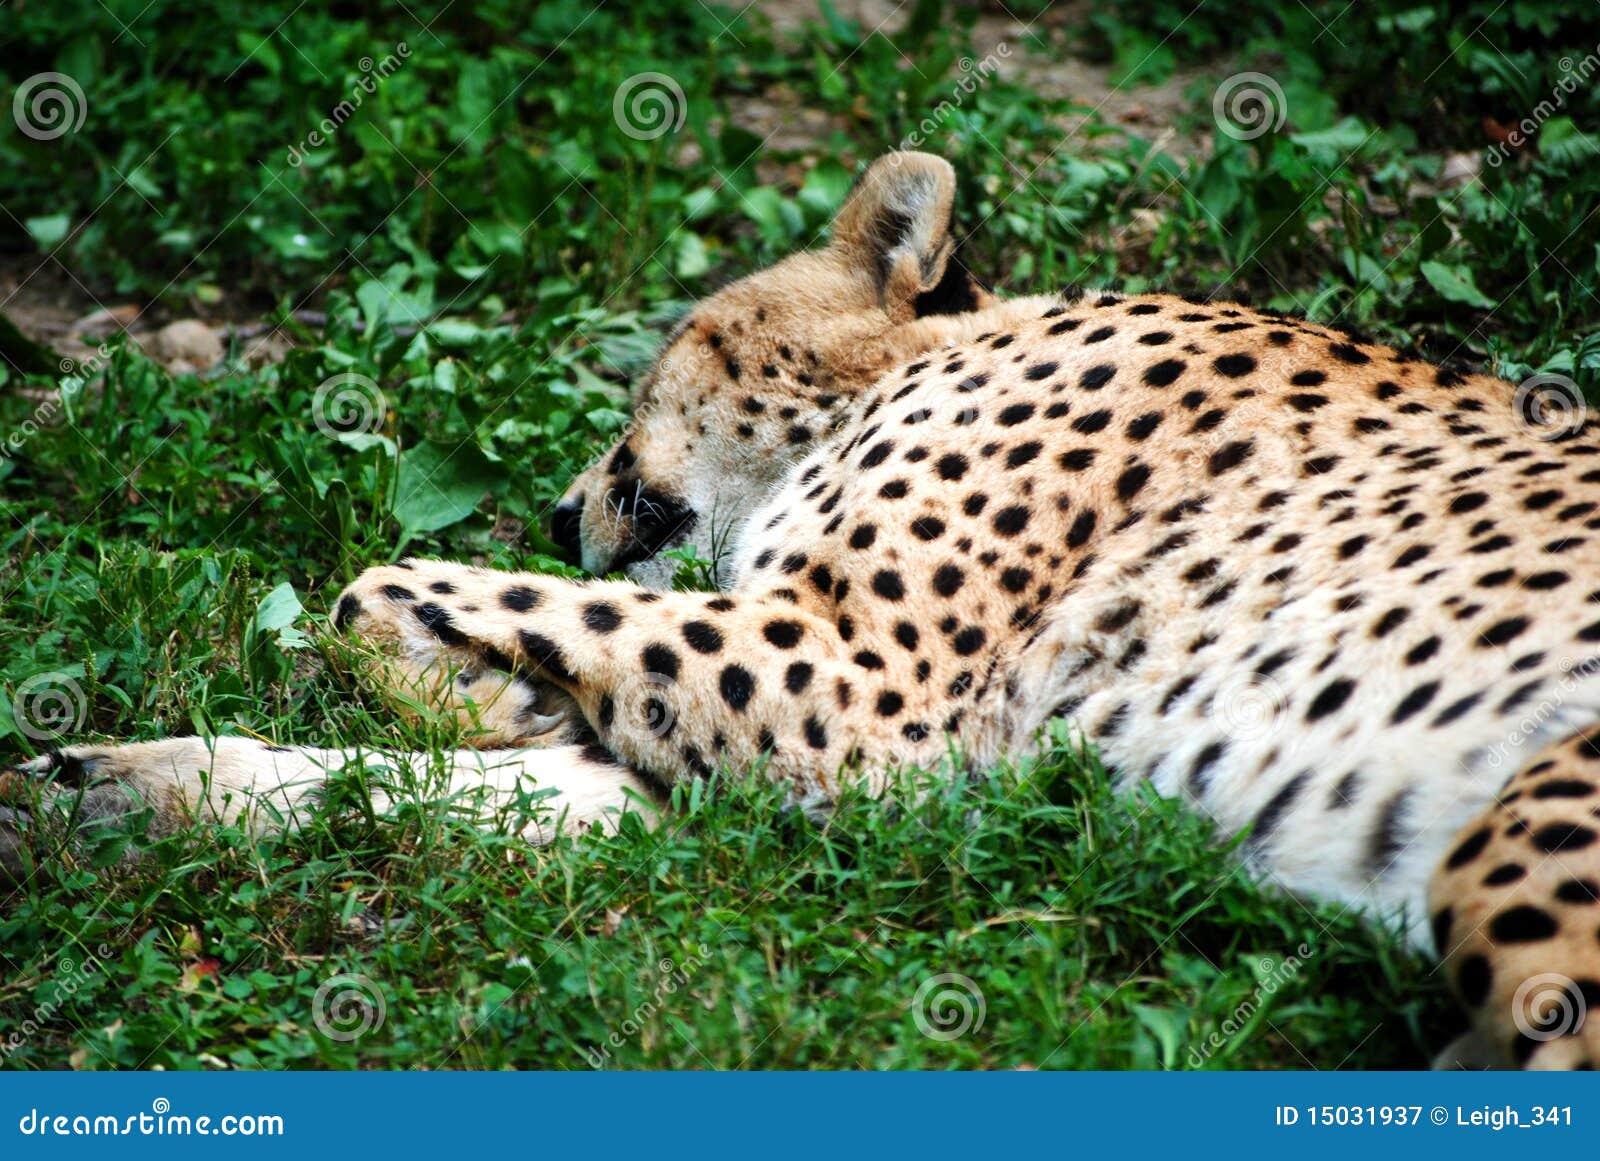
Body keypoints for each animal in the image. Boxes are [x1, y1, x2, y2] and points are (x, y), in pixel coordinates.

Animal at [6, 152, 1600, 1069]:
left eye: (659, 365)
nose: (564, 507)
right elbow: (430, 786)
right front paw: (116, 791)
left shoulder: (867, 691)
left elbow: (379, 592)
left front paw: (461, 666)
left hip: (1531, 818)